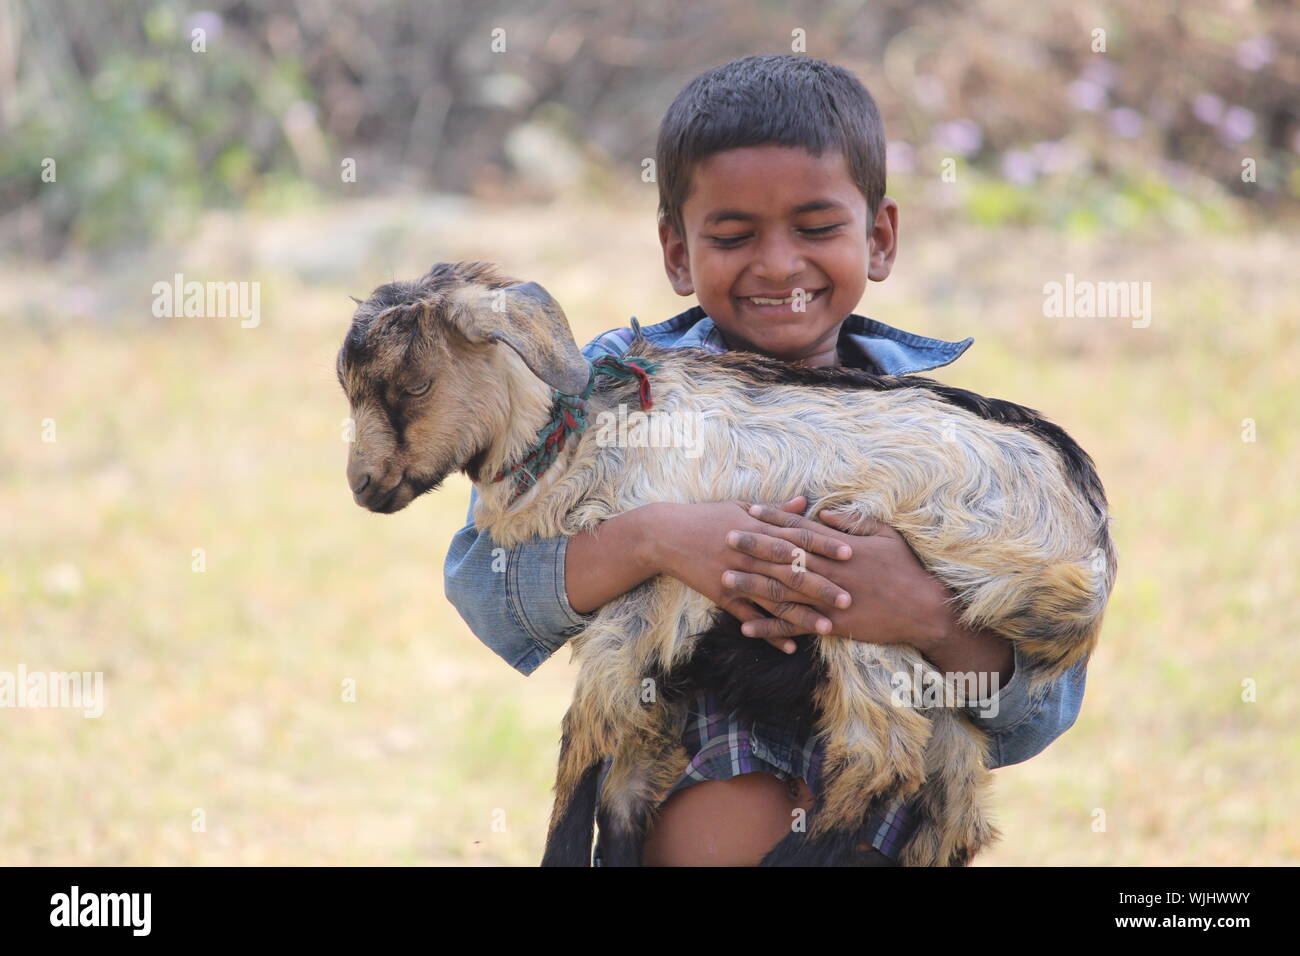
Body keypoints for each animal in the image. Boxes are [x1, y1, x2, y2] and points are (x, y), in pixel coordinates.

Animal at [336, 260, 1117, 866]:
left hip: (874, 603)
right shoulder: (653, 645)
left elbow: (582, 754)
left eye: (413, 387)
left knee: (879, 763)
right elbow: (625, 788)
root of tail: (1093, 544)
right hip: (945, 678)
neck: (579, 436)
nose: (364, 486)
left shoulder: (637, 611)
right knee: (949, 802)